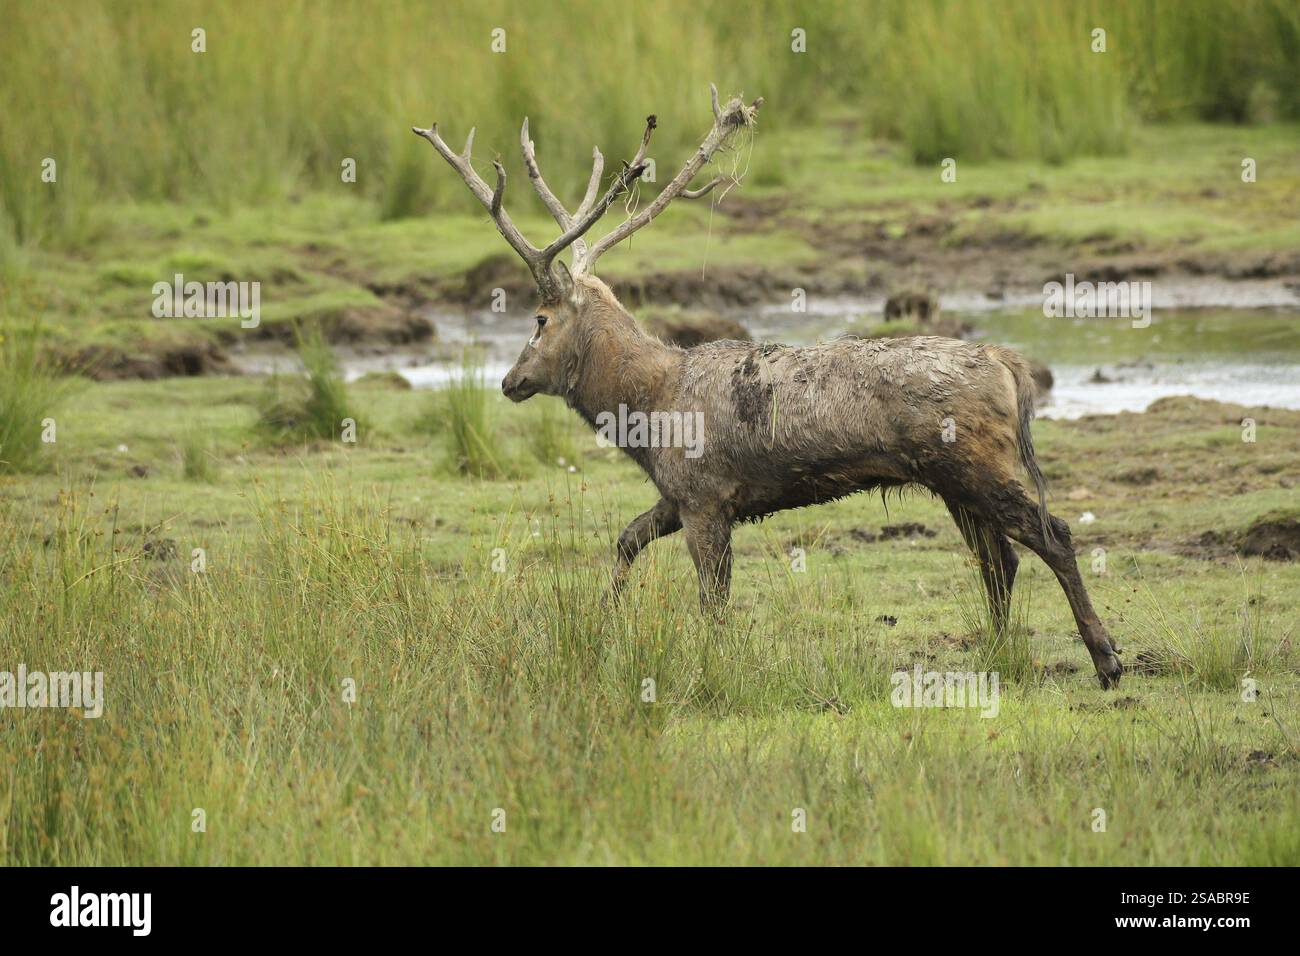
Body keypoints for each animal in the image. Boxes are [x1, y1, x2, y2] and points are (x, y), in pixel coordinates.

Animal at [412, 86, 1123, 688]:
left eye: (538, 319)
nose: (510, 381)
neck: (649, 409)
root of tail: (1008, 364)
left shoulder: (704, 496)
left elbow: (712, 601)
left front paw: (707, 665)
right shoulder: (678, 495)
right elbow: (626, 538)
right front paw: (603, 616)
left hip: (975, 462)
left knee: (1051, 533)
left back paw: (1107, 659)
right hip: (952, 478)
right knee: (999, 559)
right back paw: (999, 652)